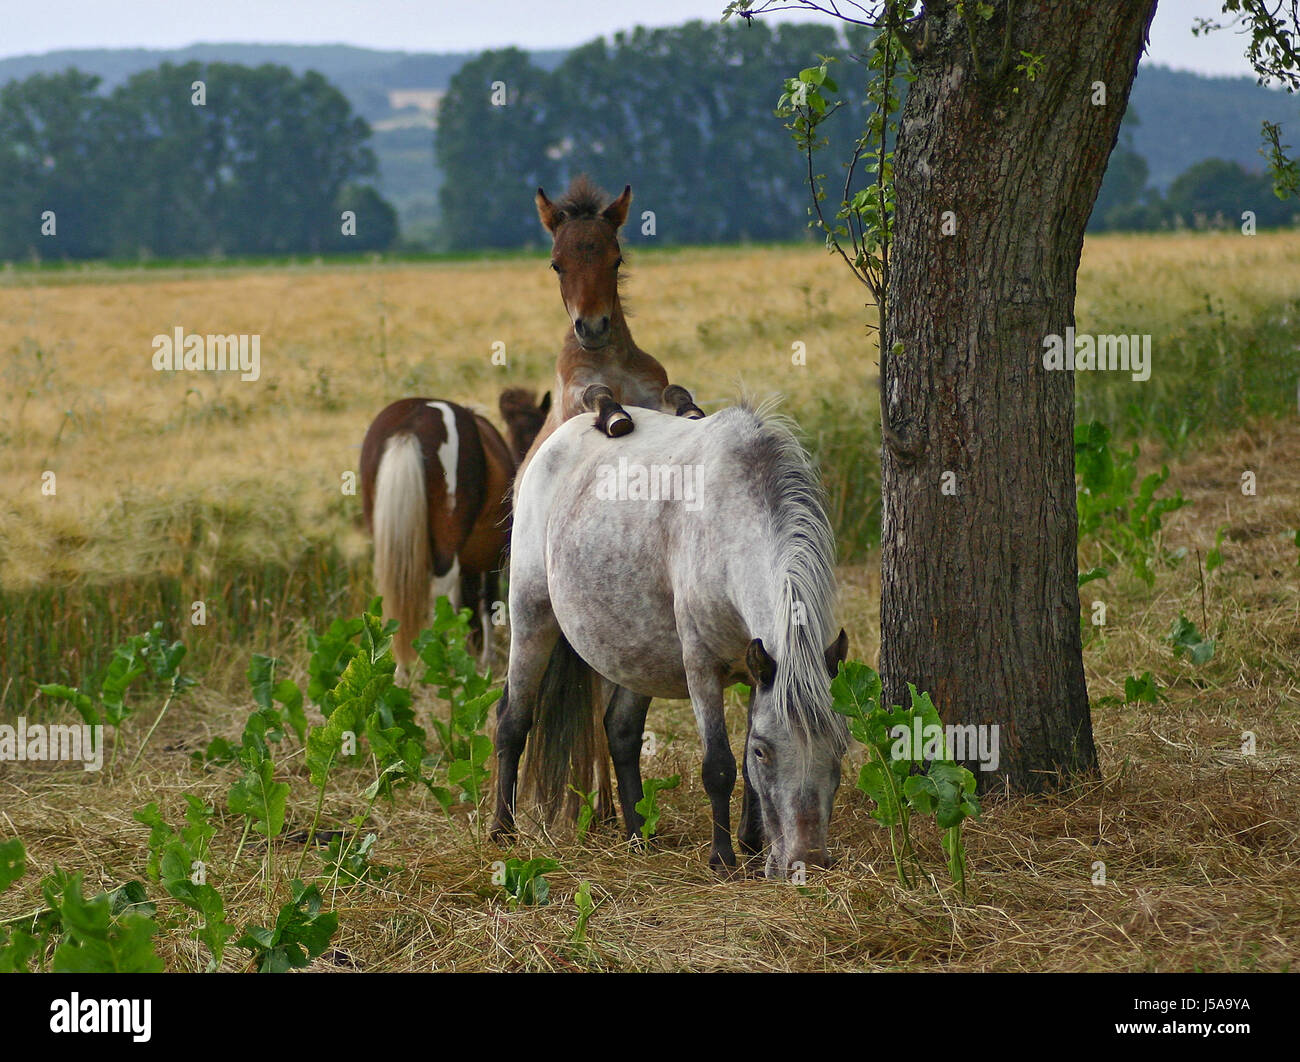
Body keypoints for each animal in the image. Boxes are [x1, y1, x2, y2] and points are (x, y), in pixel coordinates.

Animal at [360, 389, 549, 678]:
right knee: (437, 594)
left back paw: (402, 670)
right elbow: (486, 602)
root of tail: (410, 425)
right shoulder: (492, 557)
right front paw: (484, 657)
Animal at [491, 403, 850, 878]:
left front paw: (753, 847)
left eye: (841, 746)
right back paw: (501, 831)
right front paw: (723, 859)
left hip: (637, 653)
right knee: (512, 721)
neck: (730, 523)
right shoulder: (702, 666)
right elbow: (720, 766)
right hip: (531, 616)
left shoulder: (757, 669)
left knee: (621, 731)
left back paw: (638, 836)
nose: (806, 860)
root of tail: (561, 435)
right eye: (764, 752)